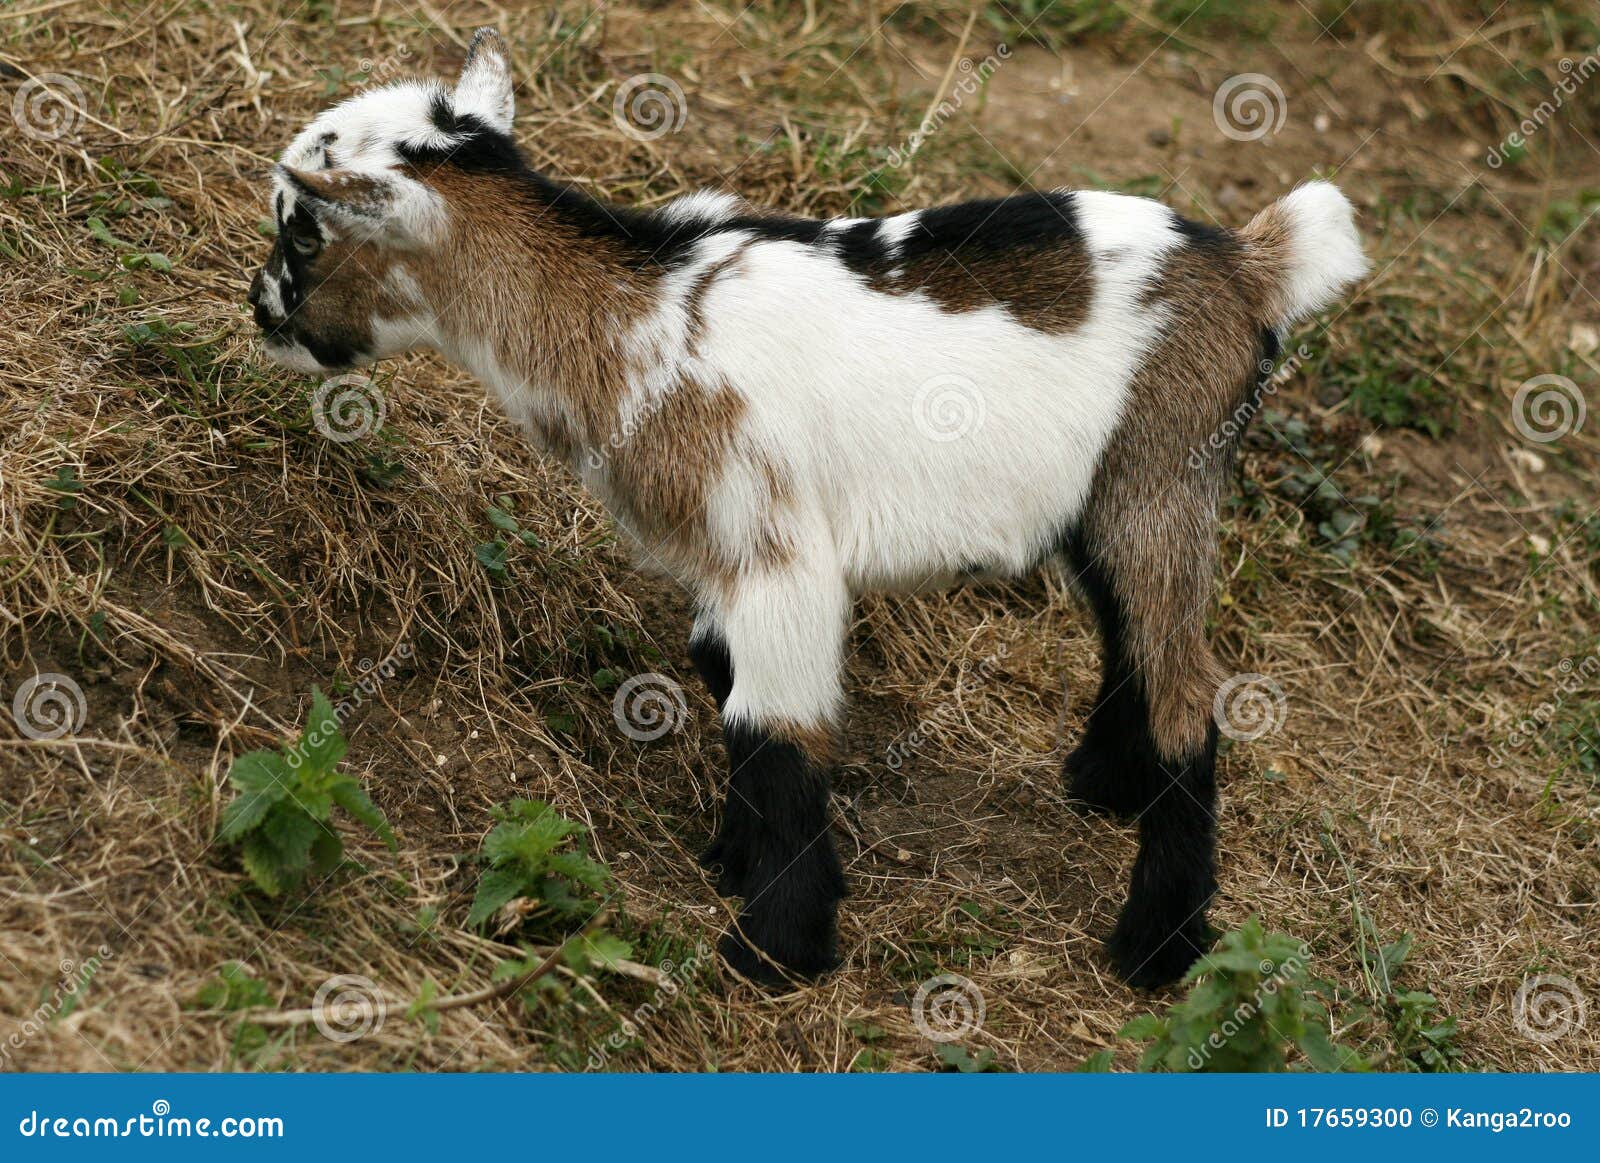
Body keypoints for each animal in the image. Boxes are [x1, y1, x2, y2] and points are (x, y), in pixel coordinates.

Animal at [247, 30, 1367, 987]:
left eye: (302, 229)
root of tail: (1249, 263)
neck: (634, 318)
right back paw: (1103, 781)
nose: (259, 309)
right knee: (1130, 633)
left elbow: (771, 722)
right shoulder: (721, 549)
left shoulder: (775, 545)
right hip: (1110, 495)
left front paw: (776, 945)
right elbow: (721, 674)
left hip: (1162, 471)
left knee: (1190, 687)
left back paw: (1157, 946)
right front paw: (734, 860)